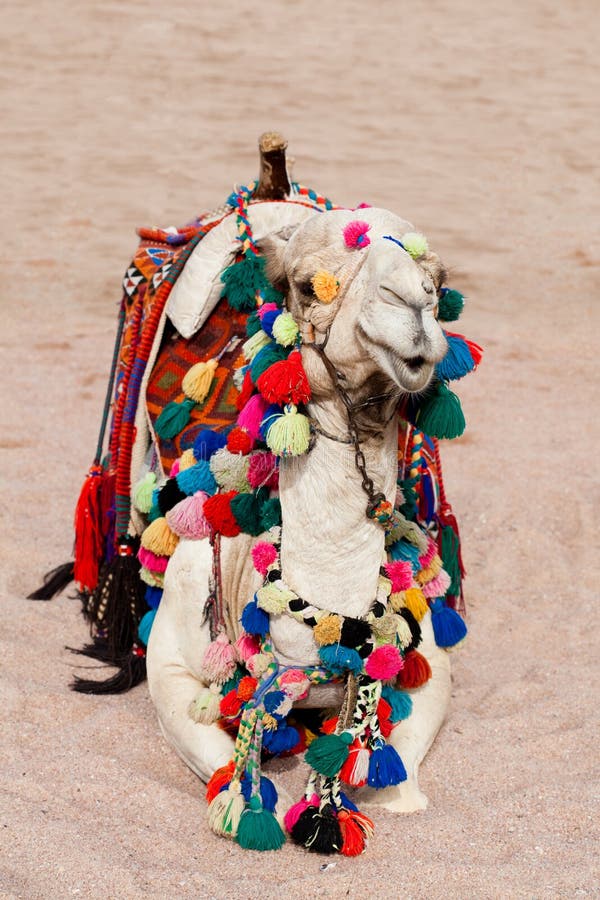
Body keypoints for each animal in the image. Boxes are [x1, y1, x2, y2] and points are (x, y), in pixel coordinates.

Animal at [146, 206, 457, 820]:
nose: (412, 303)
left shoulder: (432, 666)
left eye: (436, 281)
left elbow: (402, 774)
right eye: (309, 284)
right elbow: (221, 766)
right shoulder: (168, 666)